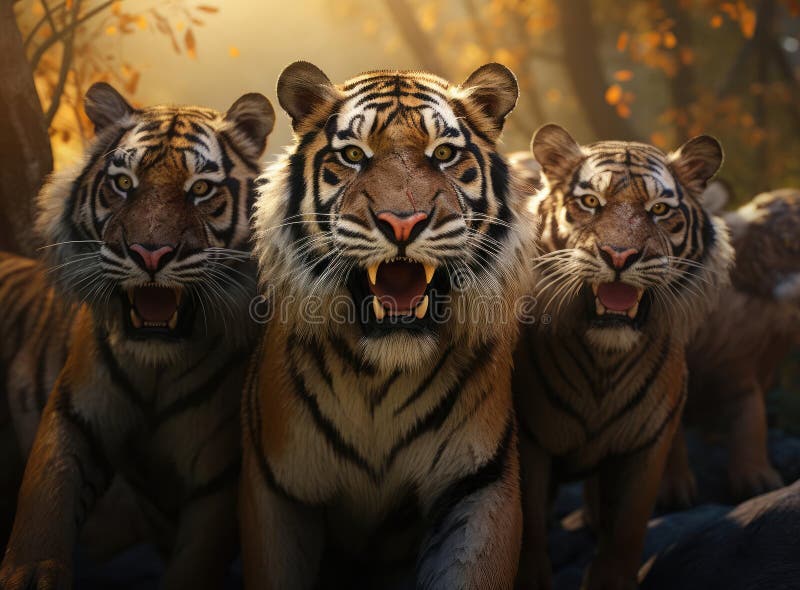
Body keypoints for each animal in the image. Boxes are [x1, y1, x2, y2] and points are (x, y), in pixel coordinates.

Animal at [0, 82, 275, 590]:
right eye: (124, 184)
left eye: (200, 189)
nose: (149, 253)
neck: (156, 365)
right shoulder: (73, 415)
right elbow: (46, 500)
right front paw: (33, 575)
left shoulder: (219, 477)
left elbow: (193, 565)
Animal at [241, 61, 536, 589]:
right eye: (354, 155)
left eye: (444, 154)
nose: (402, 223)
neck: (381, 378)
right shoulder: (279, 492)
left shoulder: (476, 486)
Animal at [512, 124, 734, 590]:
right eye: (590, 202)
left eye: (659, 209)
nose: (619, 256)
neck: (604, 360)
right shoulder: (529, 439)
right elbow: (529, 528)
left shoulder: (645, 445)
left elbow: (625, 534)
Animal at [660, 187, 800, 505]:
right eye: (789, 244)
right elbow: (671, 442)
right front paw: (673, 491)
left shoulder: (739, 373)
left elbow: (751, 424)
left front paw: (758, 480)